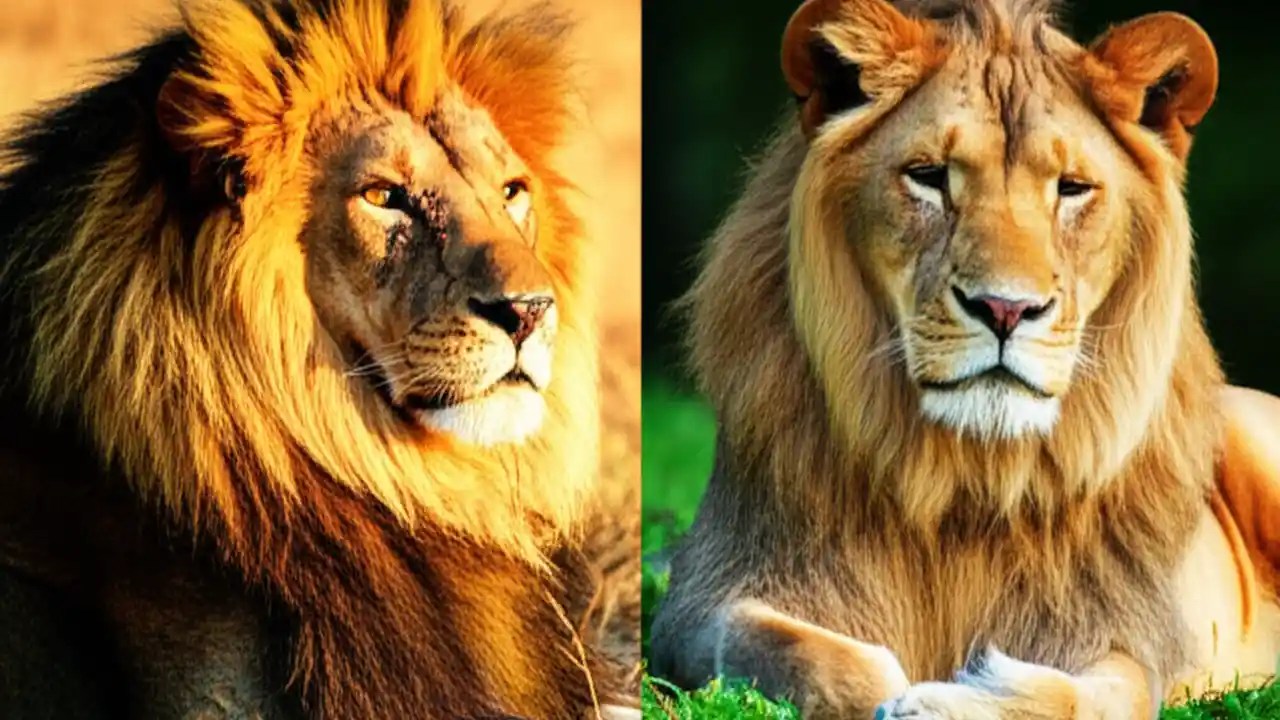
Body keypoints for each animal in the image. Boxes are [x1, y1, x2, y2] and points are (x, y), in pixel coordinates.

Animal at [648, 0, 1280, 718]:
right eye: (928, 177)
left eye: (1072, 189)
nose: (1005, 309)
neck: (967, 481)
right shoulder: (701, 603)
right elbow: (829, 662)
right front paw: (907, 693)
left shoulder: (1129, 635)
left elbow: (1091, 694)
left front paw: (970, 691)